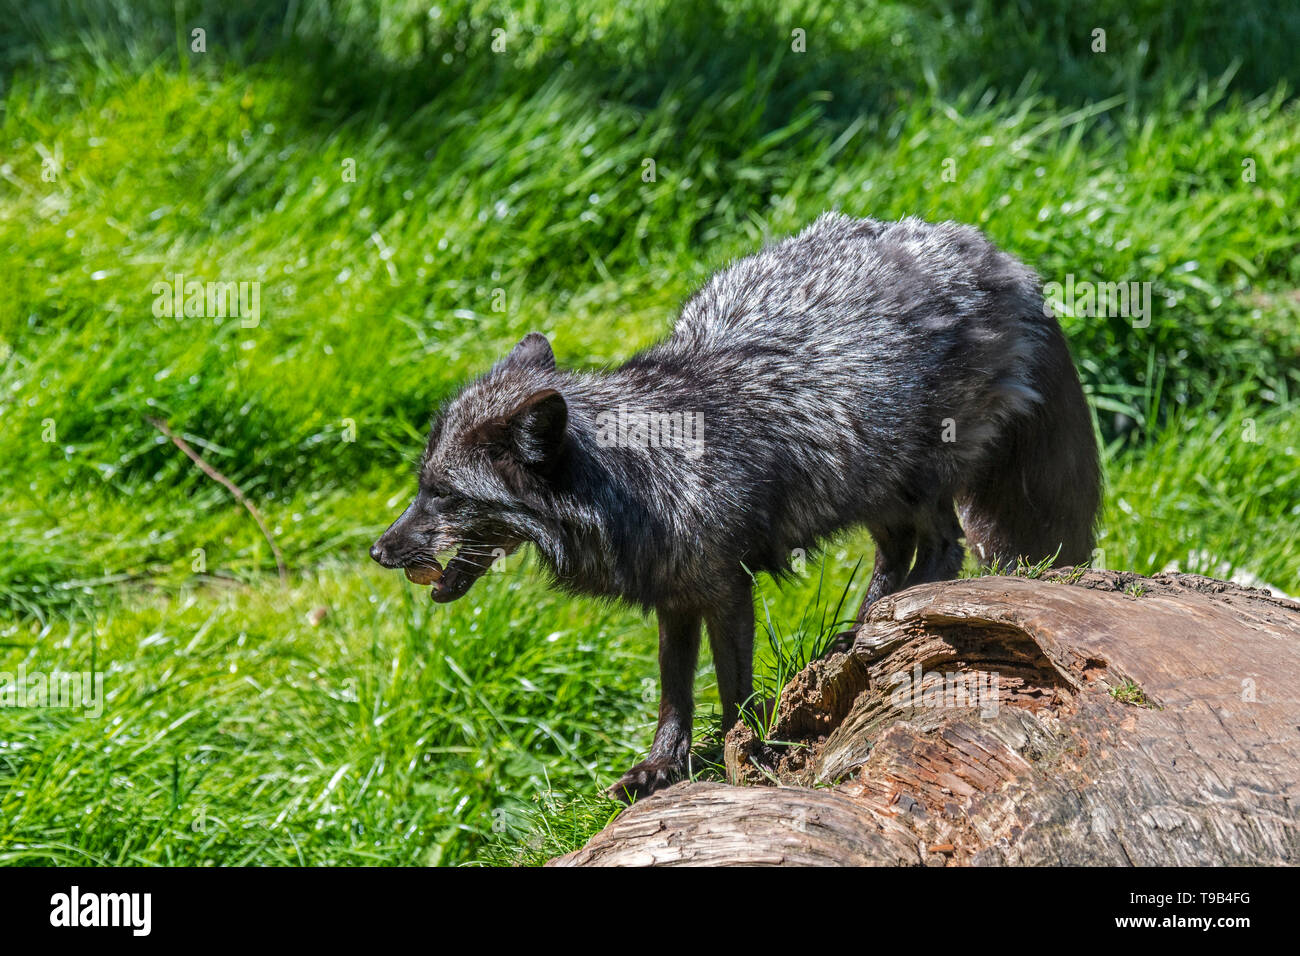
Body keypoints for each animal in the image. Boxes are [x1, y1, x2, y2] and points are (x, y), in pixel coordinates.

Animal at [370, 212, 1102, 802]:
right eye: (421, 486)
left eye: (445, 495)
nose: (378, 550)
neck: (645, 476)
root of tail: (989, 253)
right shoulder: (674, 597)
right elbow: (674, 692)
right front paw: (658, 769)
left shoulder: (727, 588)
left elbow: (729, 686)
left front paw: (743, 753)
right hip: (866, 485)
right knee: (898, 551)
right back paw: (857, 634)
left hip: (913, 480)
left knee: (945, 547)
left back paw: (876, 627)